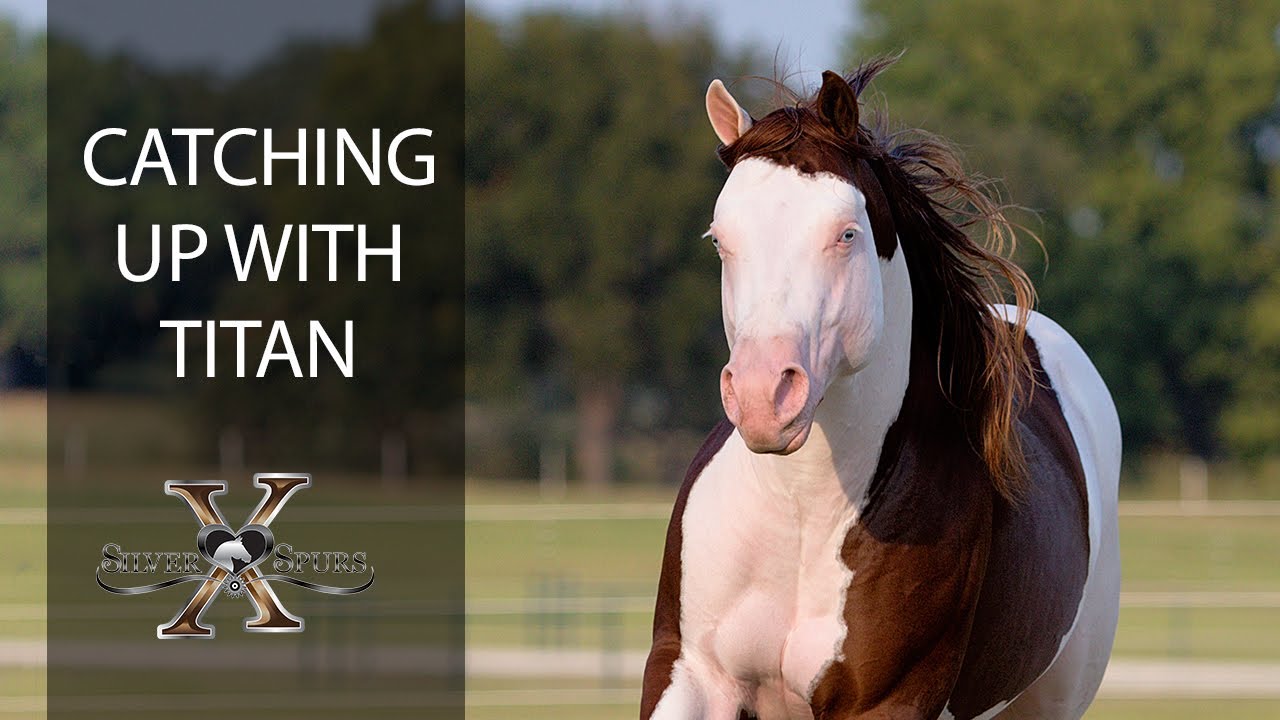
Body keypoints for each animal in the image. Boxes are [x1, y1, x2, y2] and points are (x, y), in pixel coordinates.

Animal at [641, 61, 1121, 720]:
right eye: (719, 239)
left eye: (846, 235)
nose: (766, 398)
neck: (801, 514)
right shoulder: (690, 671)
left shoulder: (890, 699)